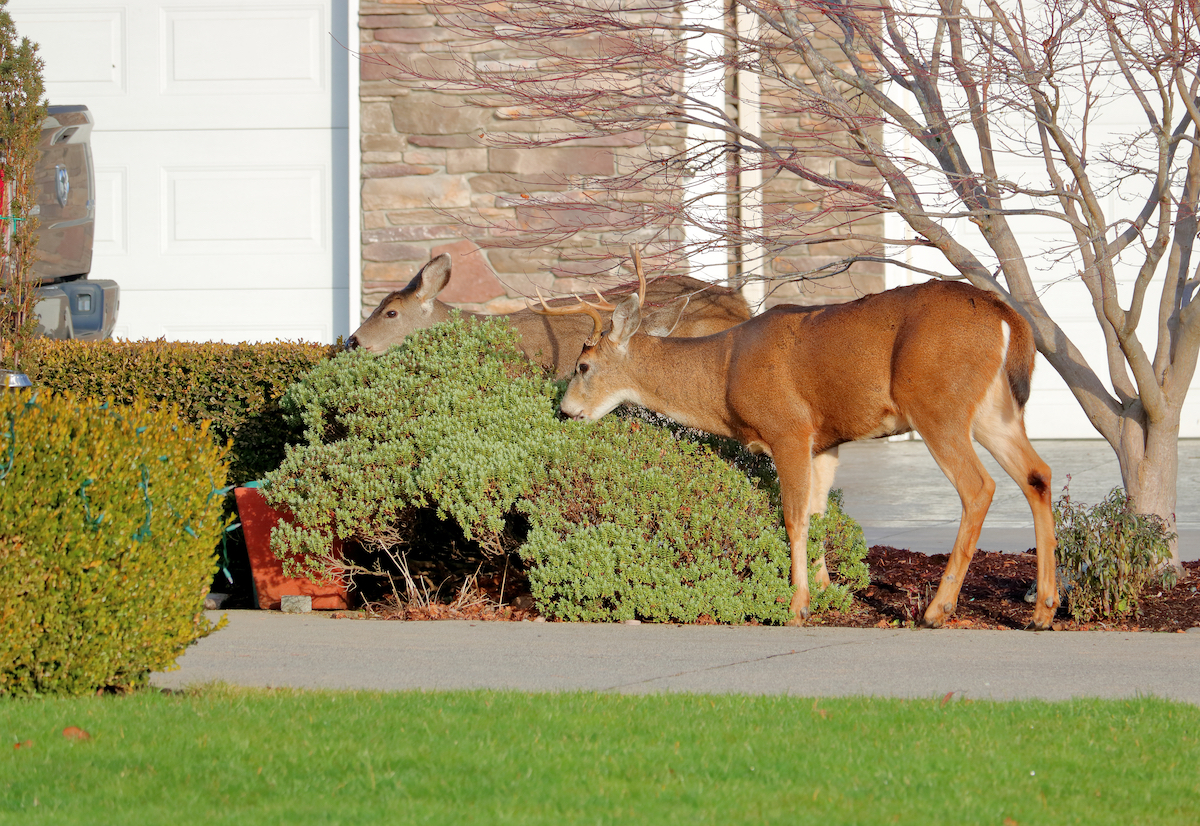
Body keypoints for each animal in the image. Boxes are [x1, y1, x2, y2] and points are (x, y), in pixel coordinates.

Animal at [554, 279, 1060, 629]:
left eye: (583, 366)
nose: (564, 410)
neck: (722, 373)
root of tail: (1007, 317)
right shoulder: (826, 441)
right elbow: (817, 515)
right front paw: (827, 593)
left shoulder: (789, 429)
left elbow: (794, 517)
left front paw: (796, 606)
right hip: (995, 410)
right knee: (1038, 474)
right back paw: (1043, 610)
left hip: (938, 403)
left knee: (979, 486)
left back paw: (938, 610)